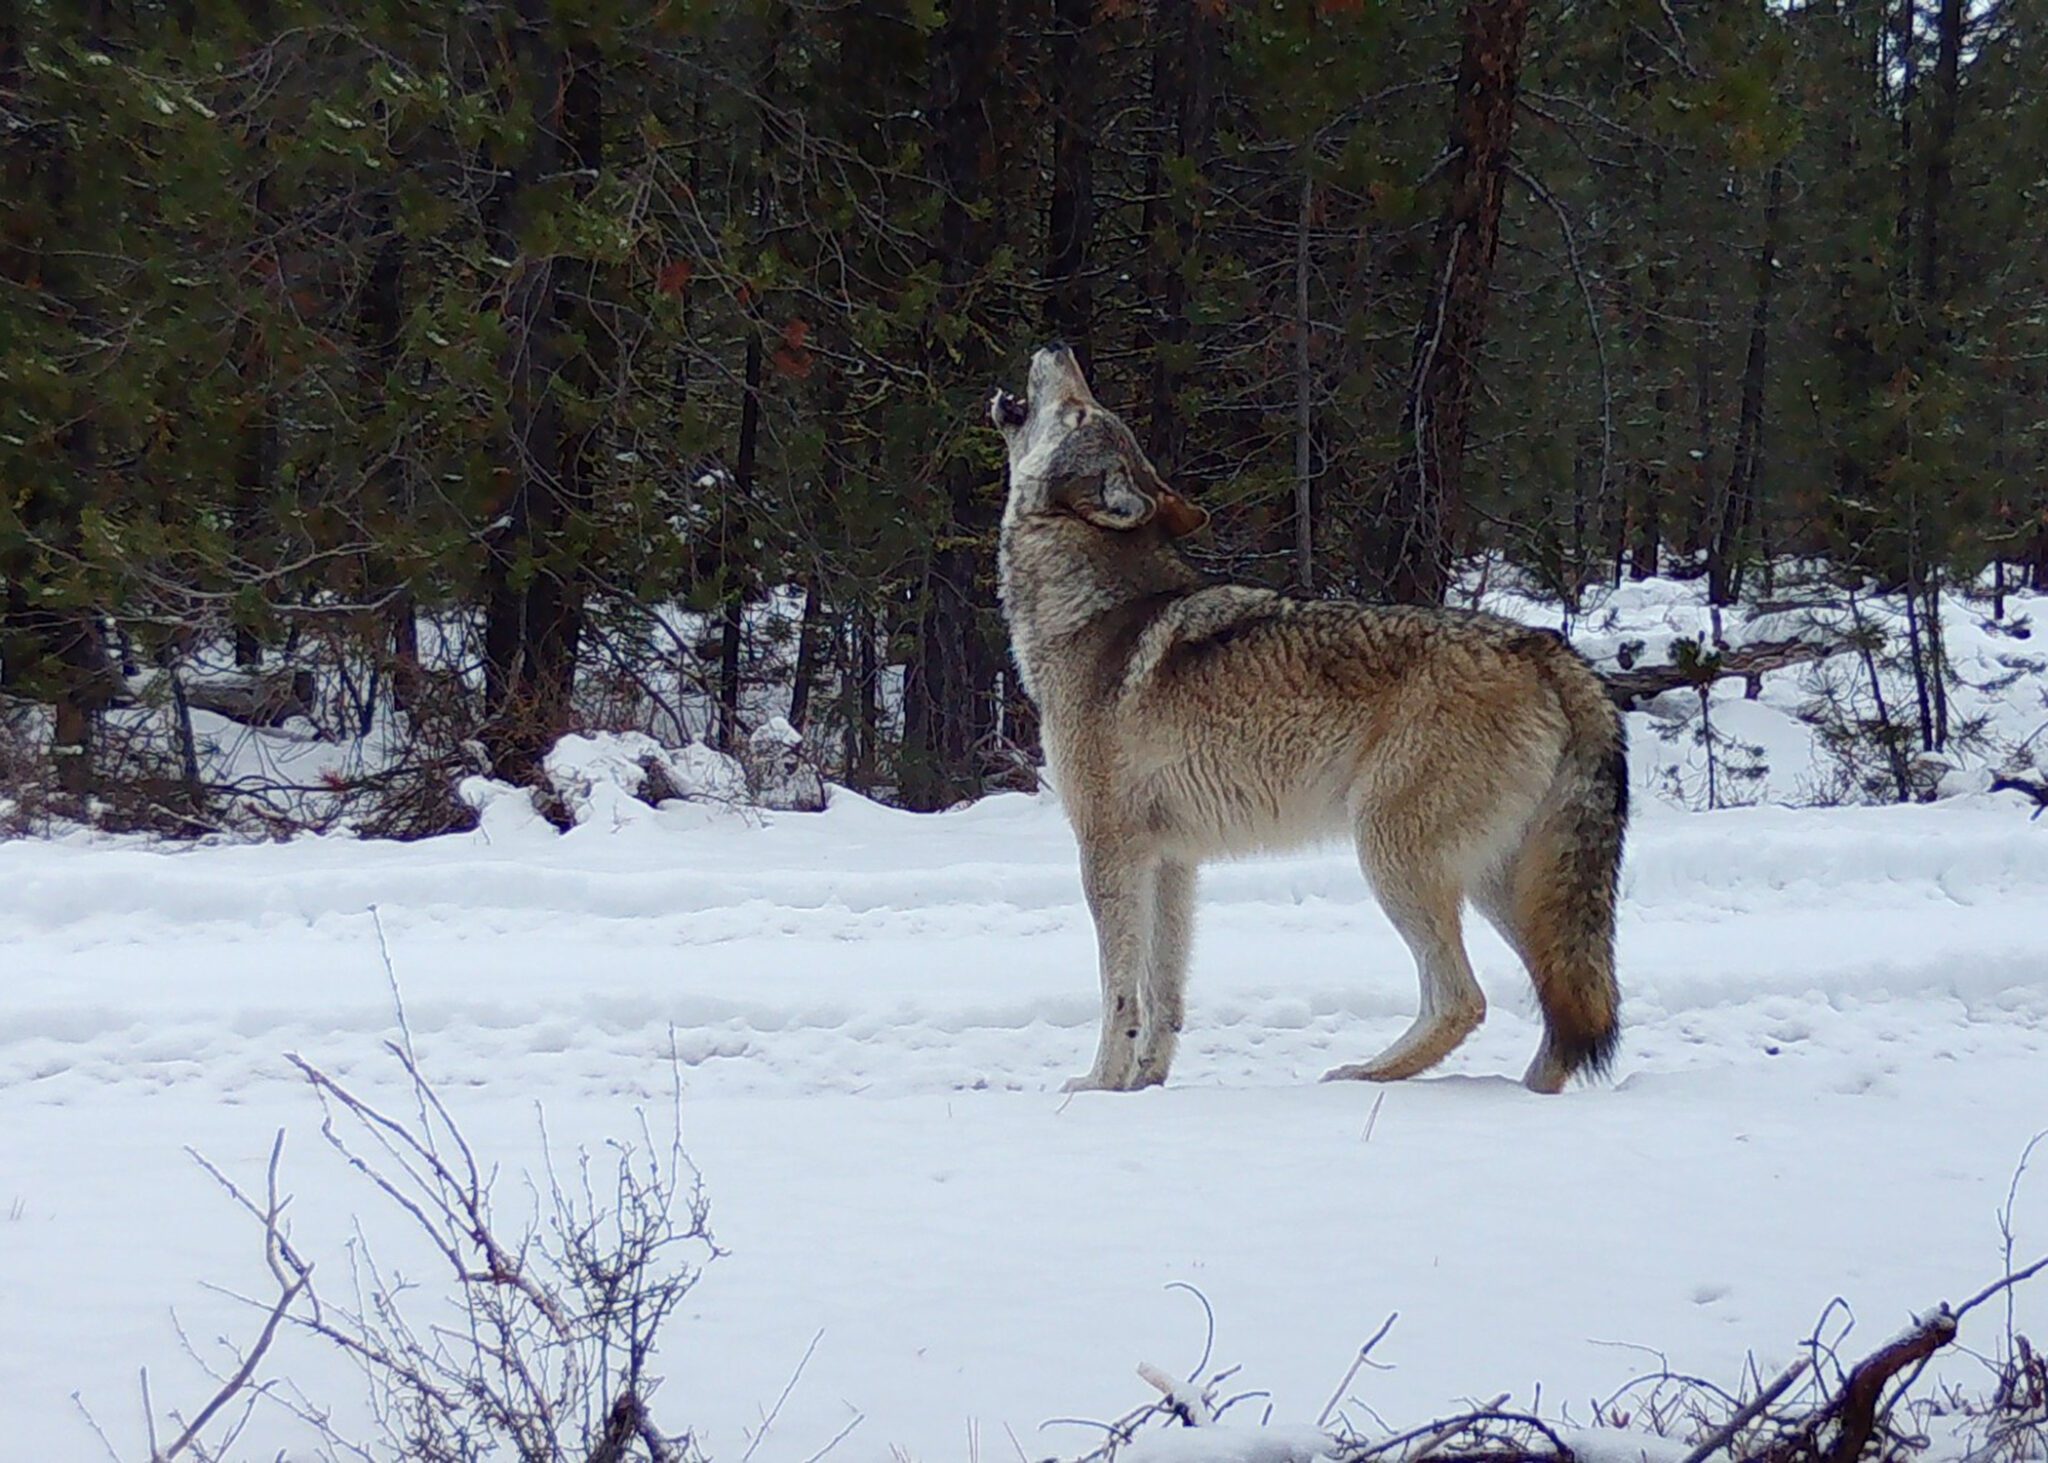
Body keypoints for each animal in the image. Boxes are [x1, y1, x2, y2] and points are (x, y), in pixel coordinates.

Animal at [992, 345, 1626, 1095]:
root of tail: (1544, 647)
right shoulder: (1171, 860)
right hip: (1503, 884)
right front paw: (1147, 1084)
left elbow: (1119, 992)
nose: (1057, 348)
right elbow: (1163, 992)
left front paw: (1098, 1085)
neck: (1087, 613)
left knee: (1463, 999)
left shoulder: (1108, 849)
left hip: (1393, 855)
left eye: (1080, 410)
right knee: (1565, 1006)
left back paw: (1364, 1074)